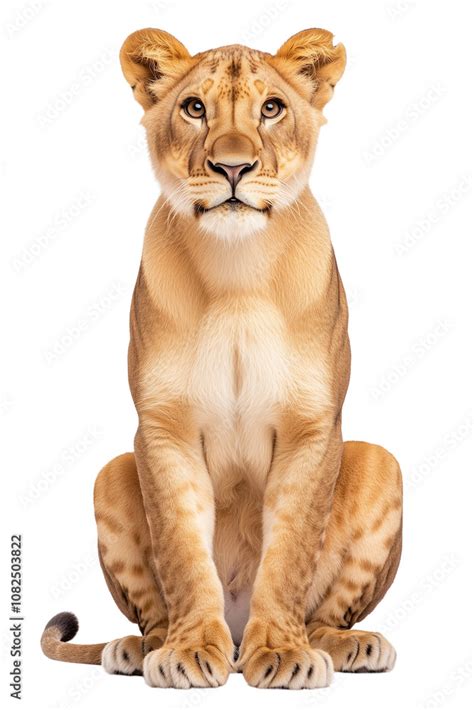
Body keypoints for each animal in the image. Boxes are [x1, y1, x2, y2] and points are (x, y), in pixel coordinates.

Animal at [41, 28, 402, 689]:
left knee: (322, 616)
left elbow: (289, 553)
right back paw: (140, 649)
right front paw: (186, 651)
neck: (237, 272)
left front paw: (282, 654)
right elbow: (182, 550)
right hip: (111, 472)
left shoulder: (313, 427)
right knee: (151, 613)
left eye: (272, 108)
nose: (233, 167)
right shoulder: (164, 428)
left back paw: (348, 644)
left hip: (380, 461)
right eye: (194, 108)